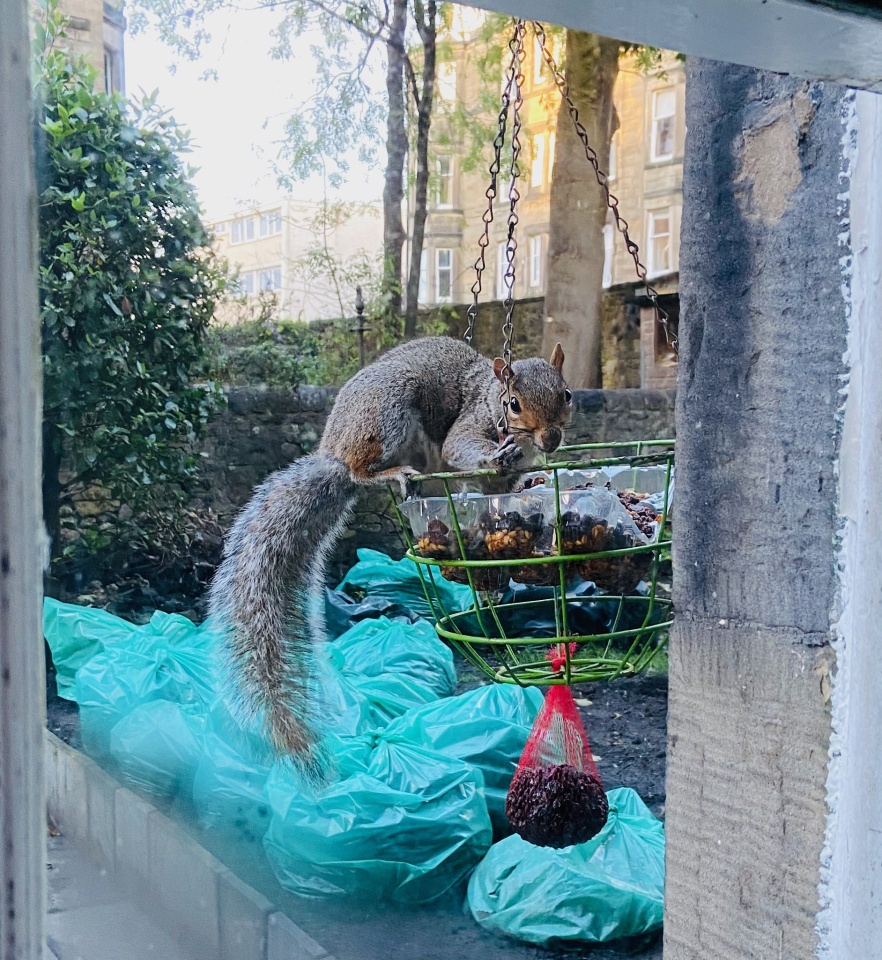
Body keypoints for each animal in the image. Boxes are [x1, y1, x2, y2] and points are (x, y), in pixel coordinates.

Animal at [208, 335, 571, 782]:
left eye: (567, 394)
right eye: (513, 403)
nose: (551, 439)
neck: (490, 400)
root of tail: (332, 451)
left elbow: (503, 487)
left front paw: (528, 481)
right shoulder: (470, 425)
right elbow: (463, 447)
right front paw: (494, 456)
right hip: (387, 412)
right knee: (360, 468)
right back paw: (388, 473)